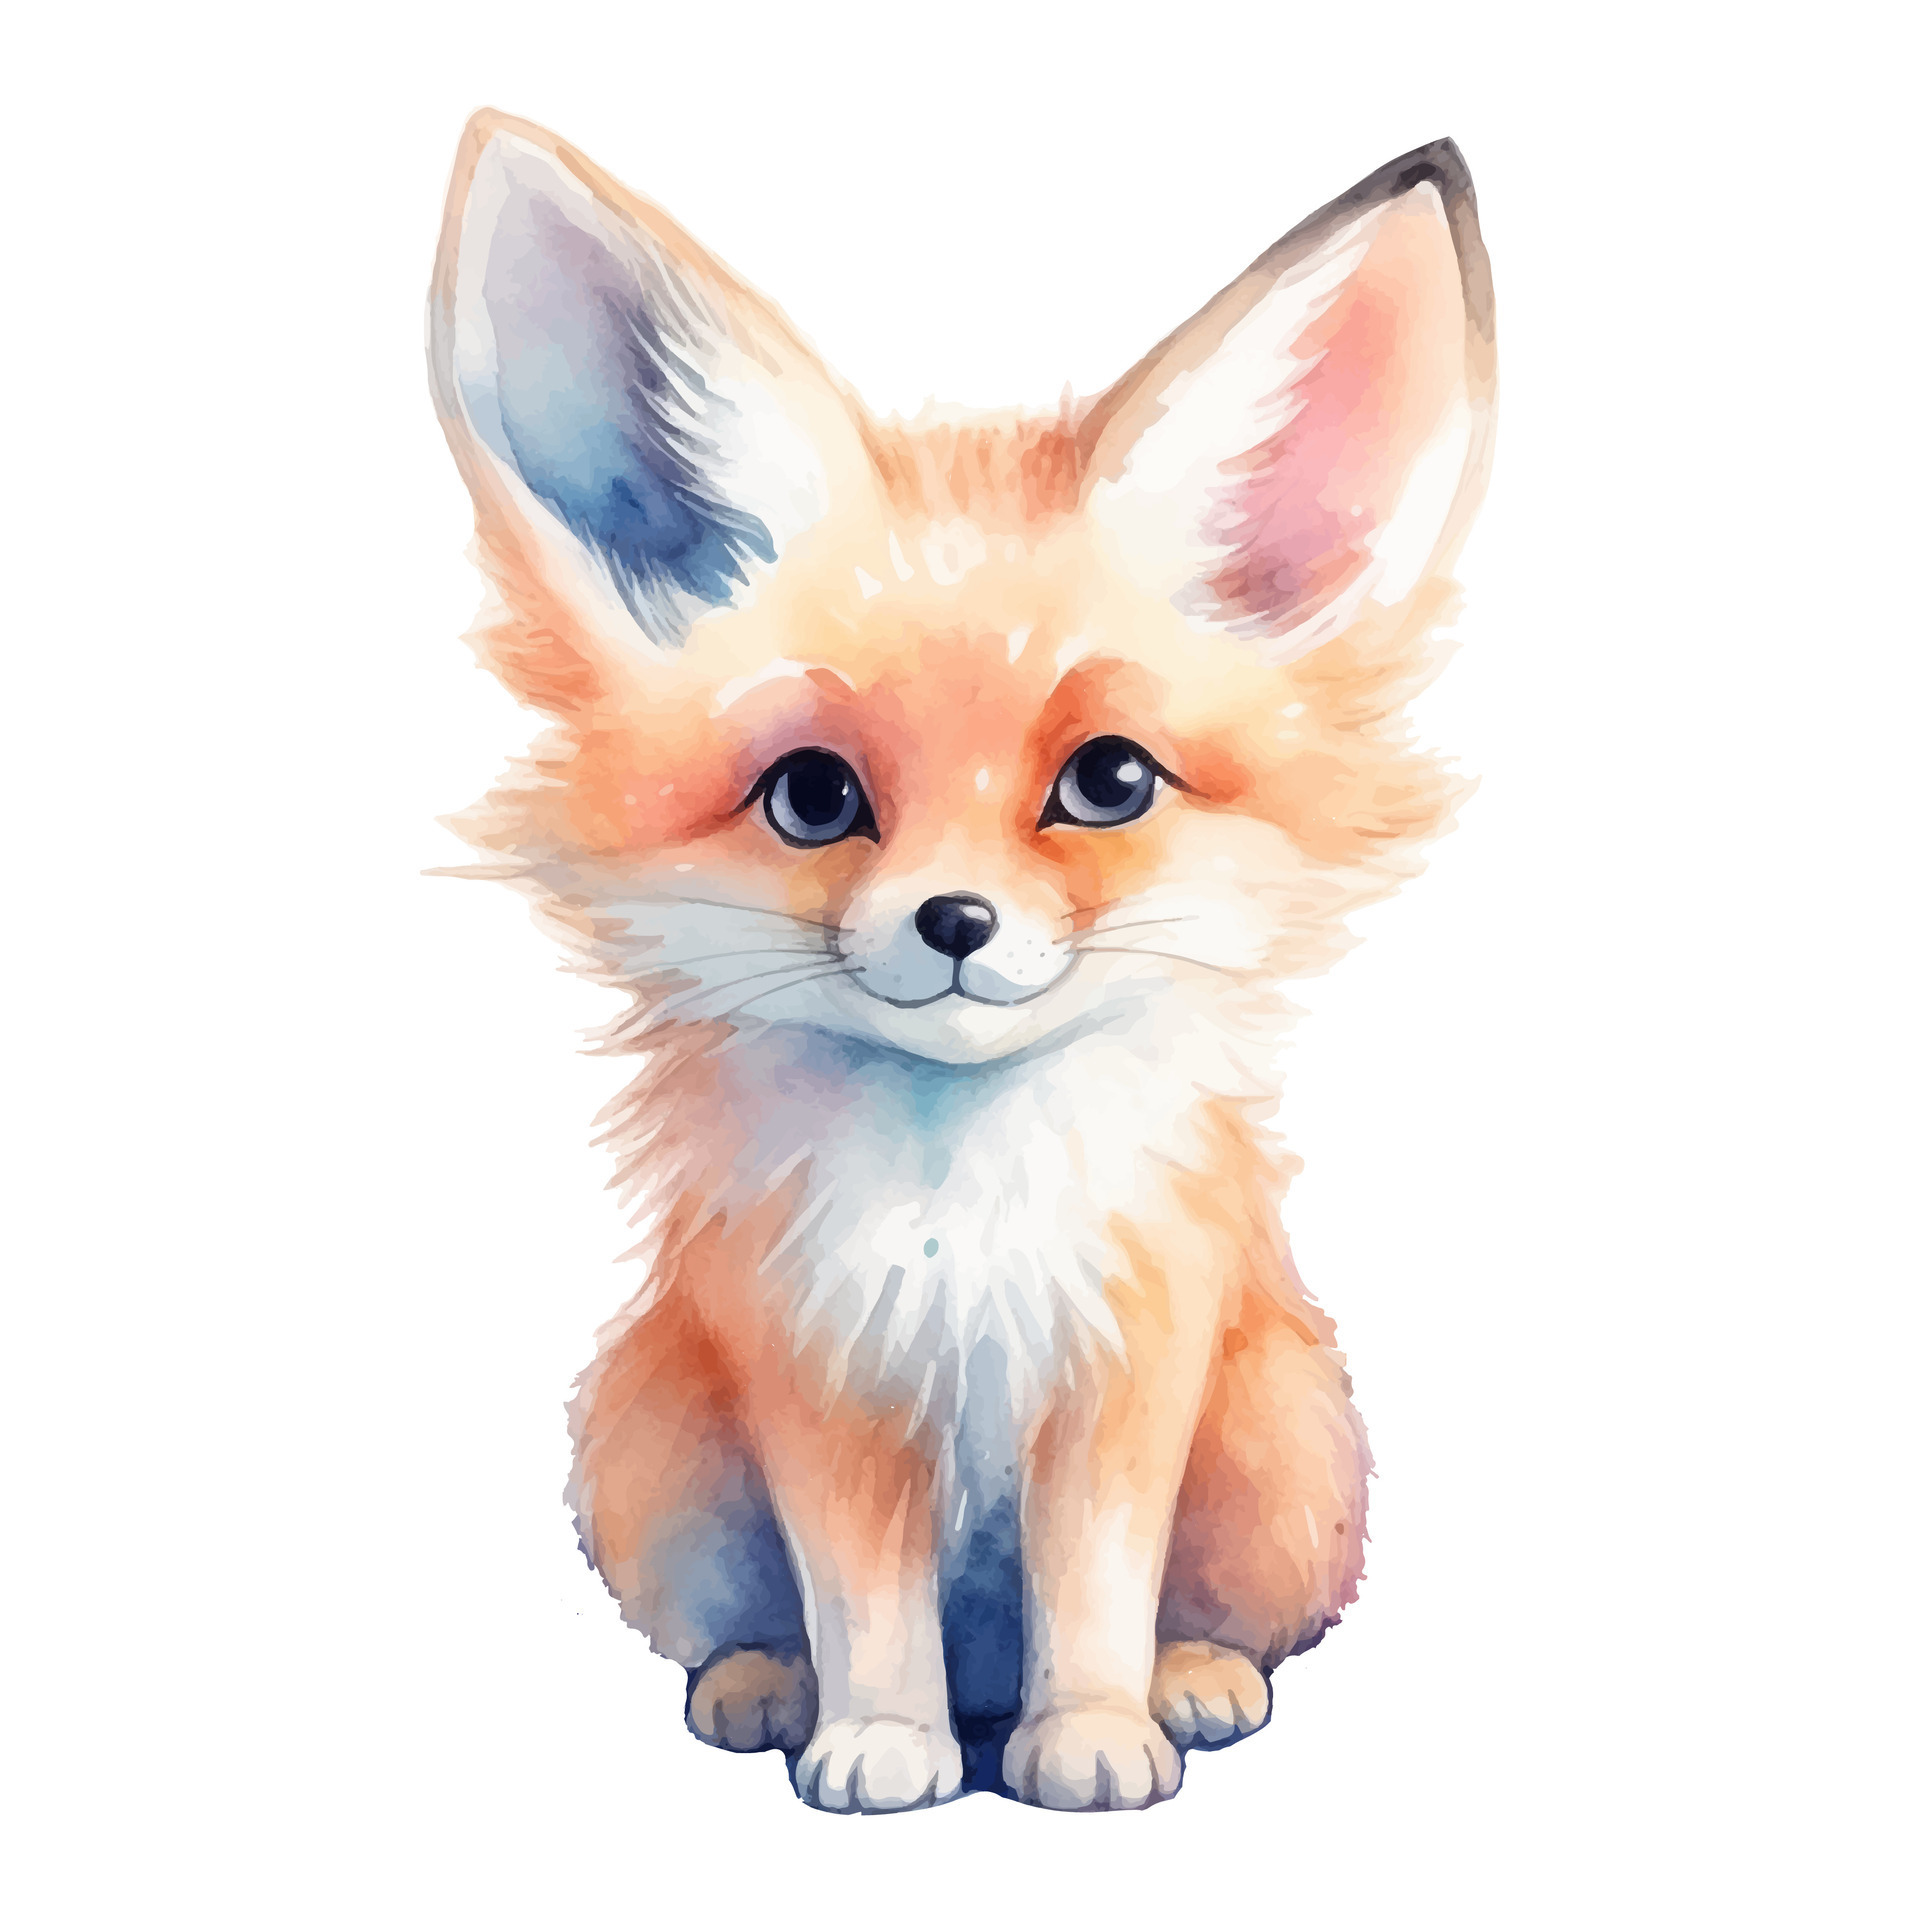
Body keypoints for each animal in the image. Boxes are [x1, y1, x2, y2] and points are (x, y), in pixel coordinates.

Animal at [428, 109, 1495, 1813]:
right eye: (811, 796)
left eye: (1109, 781)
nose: (954, 923)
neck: (961, 1229)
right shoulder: (821, 1383)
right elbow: (864, 1606)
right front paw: (877, 1739)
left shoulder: (1125, 1373)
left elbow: (1099, 1590)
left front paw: (1096, 1735)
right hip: (650, 1452)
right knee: (747, 1623)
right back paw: (766, 1689)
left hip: (1286, 1446)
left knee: (1224, 1617)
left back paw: (1192, 1684)